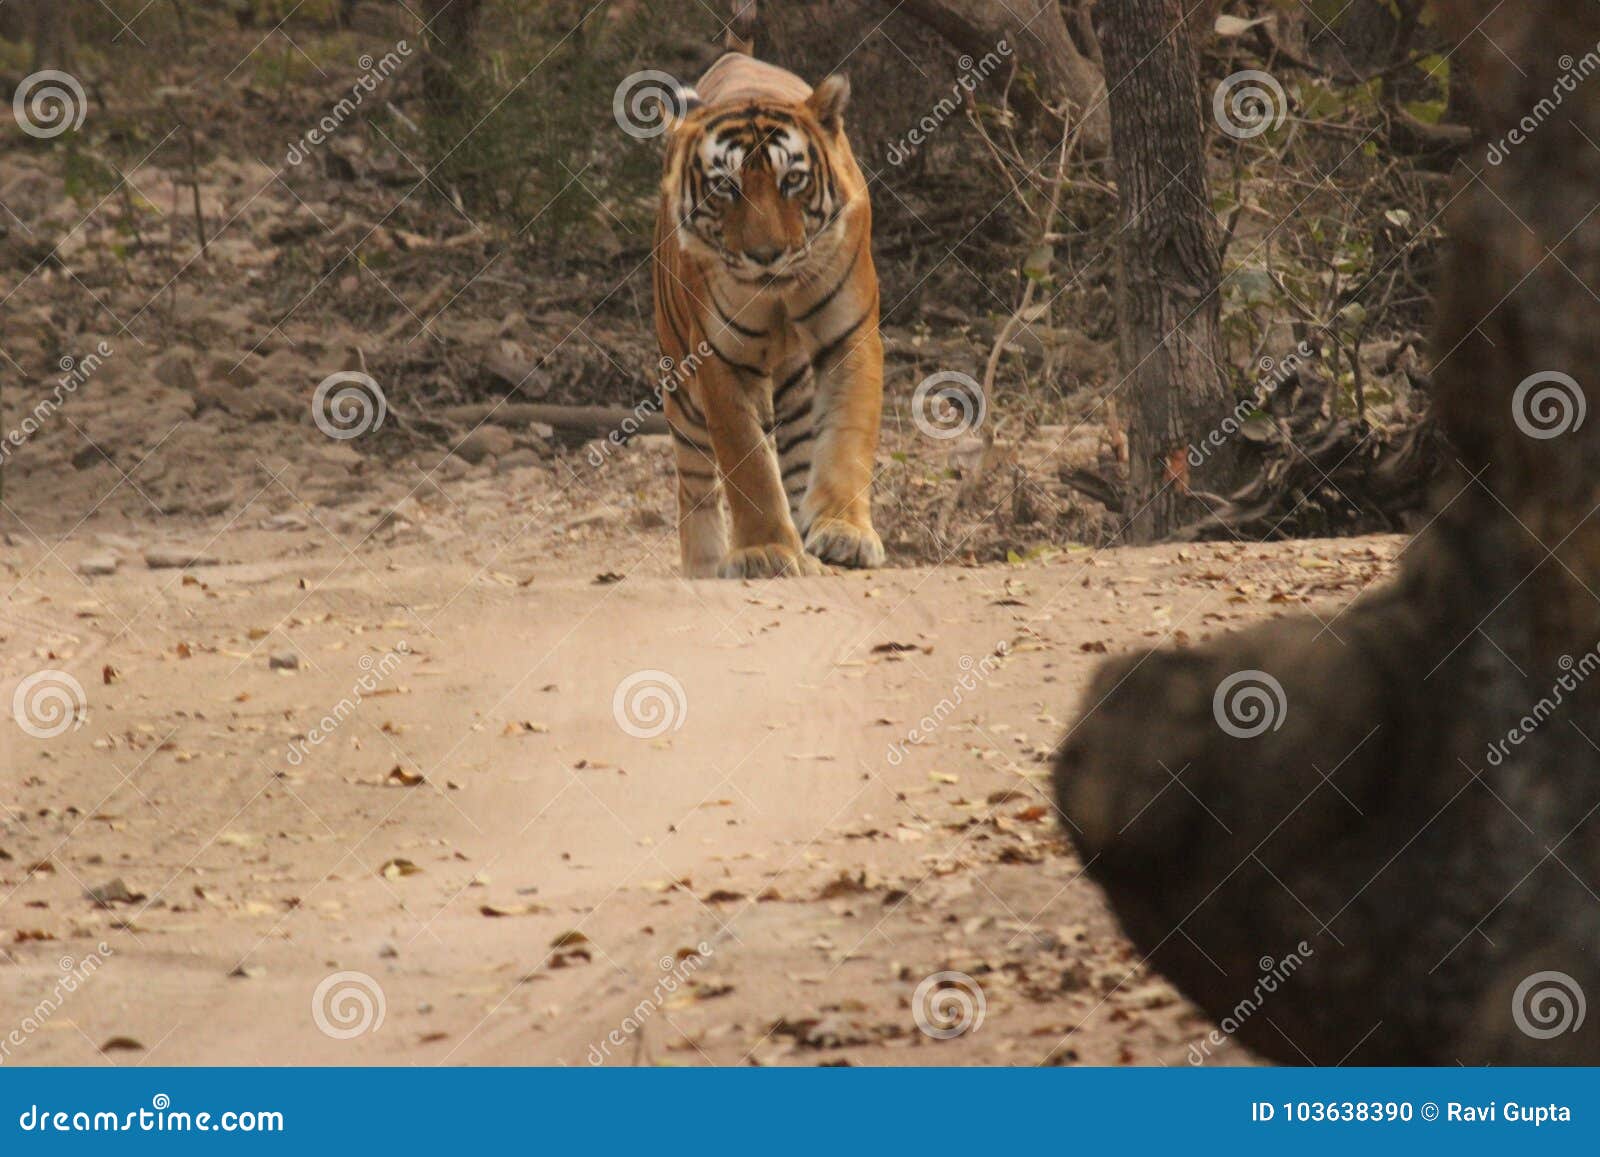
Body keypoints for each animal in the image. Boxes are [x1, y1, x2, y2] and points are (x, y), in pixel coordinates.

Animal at [651, 8, 884, 579]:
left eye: (791, 181)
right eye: (725, 188)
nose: (766, 254)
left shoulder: (850, 335)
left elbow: (846, 437)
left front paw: (844, 533)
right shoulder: (718, 358)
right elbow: (747, 461)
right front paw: (765, 551)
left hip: (796, 386)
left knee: (799, 456)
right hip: (679, 379)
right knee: (695, 479)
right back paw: (706, 567)